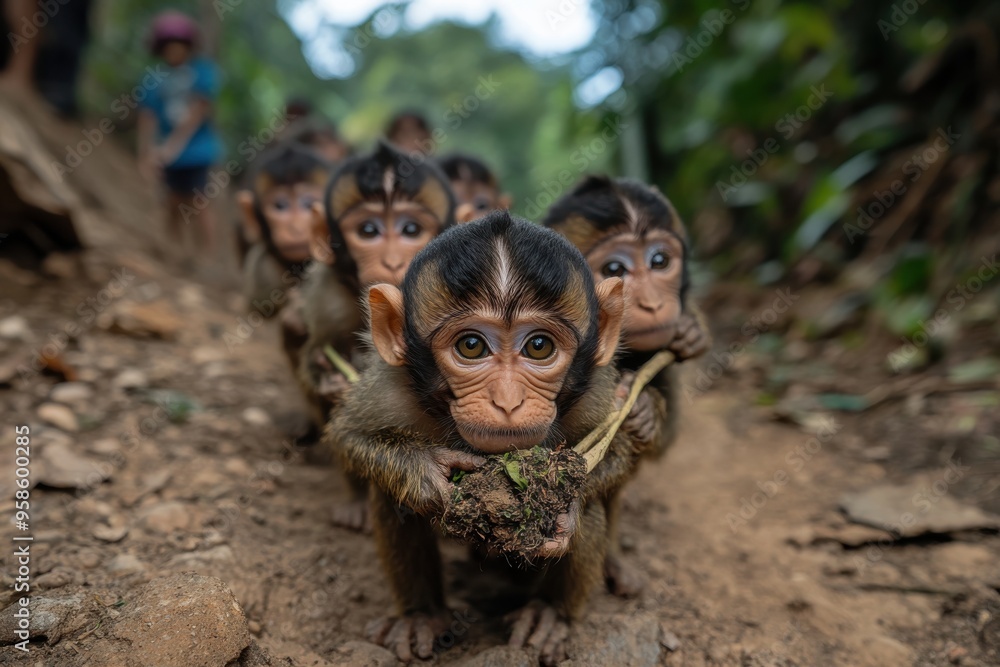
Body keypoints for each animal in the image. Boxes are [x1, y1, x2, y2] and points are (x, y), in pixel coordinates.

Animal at [332, 211, 638, 665]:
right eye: (472, 346)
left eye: (539, 346)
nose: (507, 401)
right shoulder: (392, 388)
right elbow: (349, 435)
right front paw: (427, 472)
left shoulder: (595, 393)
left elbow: (614, 450)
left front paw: (565, 506)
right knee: (391, 499)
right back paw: (422, 615)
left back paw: (550, 614)